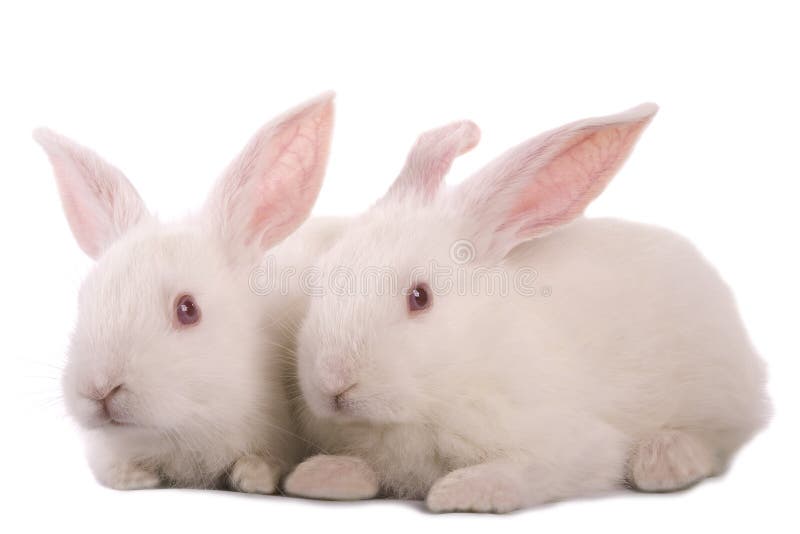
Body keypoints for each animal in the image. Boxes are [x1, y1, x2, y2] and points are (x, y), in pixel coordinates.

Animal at [284, 103, 770, 513]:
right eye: (321, 277)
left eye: (420, 297)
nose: (334, 385)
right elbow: (366, 468)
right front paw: (320, 476)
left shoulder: (574, 447)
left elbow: (522, 472)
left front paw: (461, 492)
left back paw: (665, 461)